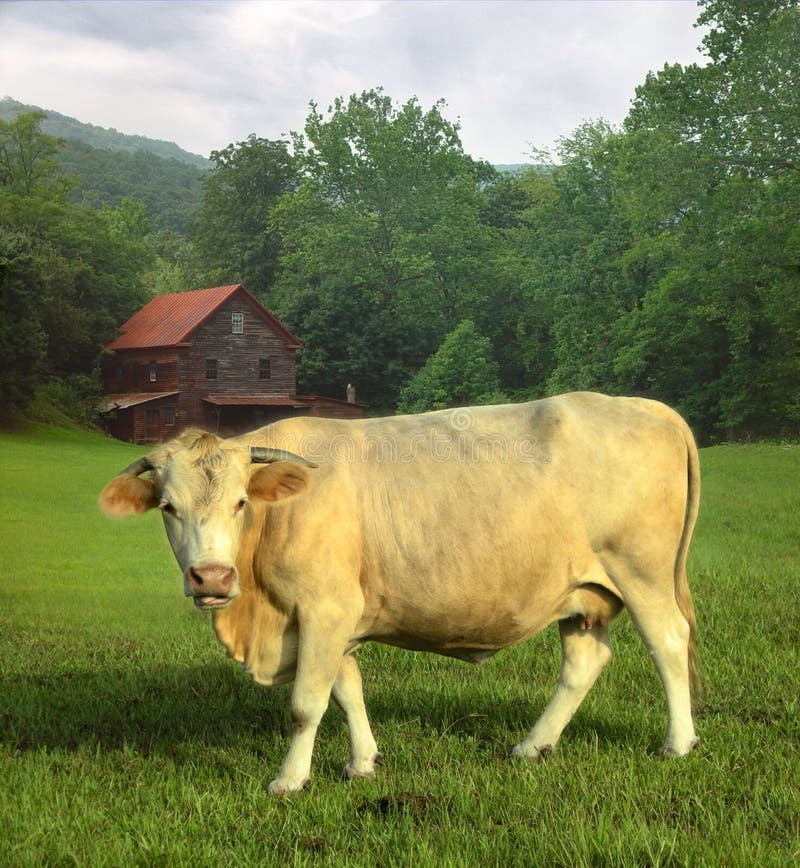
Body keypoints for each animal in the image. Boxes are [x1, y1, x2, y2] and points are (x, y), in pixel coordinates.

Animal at [99, 392, 700, 795]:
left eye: (240, 502)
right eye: (168, 507)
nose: (211, 578)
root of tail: (646, 405)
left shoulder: (325, 606)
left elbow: (306, 703)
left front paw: (290, 780)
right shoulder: (333, 612)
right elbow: (347, 689)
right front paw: (362, 762)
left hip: (641, 572)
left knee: (669, 643)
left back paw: (679, 743)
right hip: (580, 593)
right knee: (584, 662)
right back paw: (533, 745)